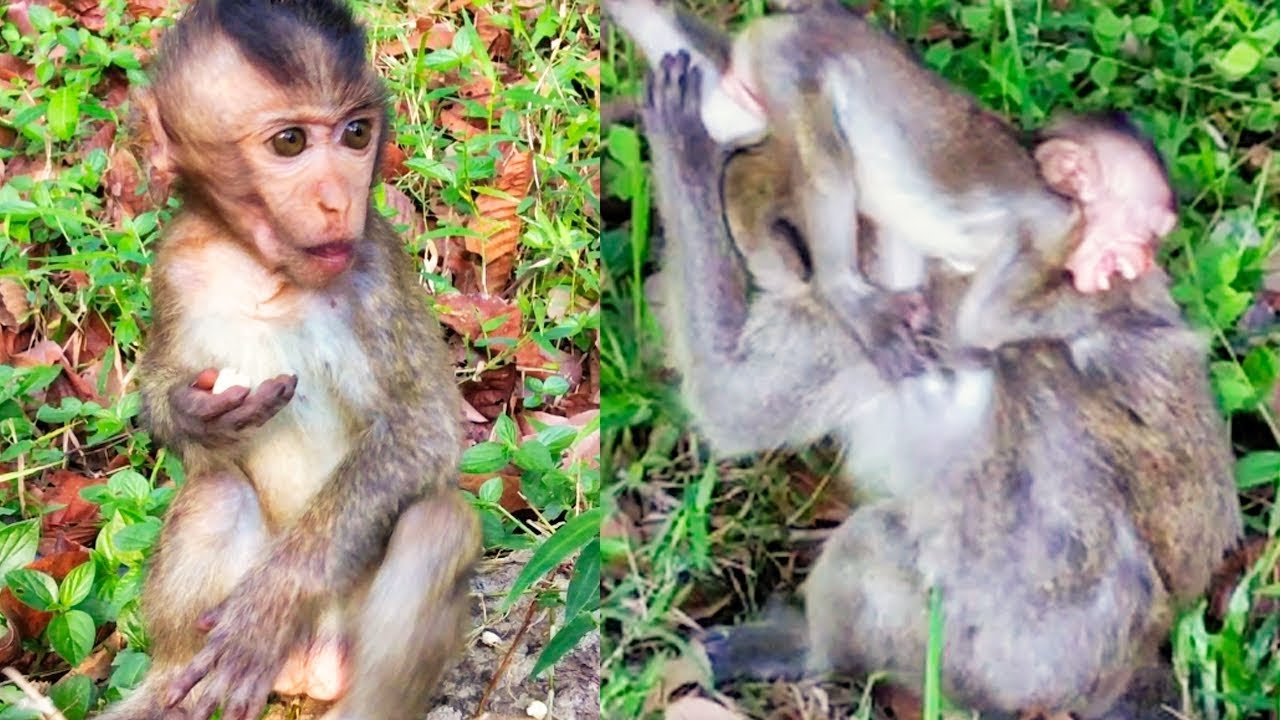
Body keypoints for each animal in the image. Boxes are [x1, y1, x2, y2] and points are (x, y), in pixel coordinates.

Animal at [94, 1, 481, 718]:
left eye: (356, 134)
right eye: (290, 143)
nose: (338, 200)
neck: (264, 272)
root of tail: (307, 663)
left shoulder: (375, 269)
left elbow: (425, 427)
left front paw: (271, 603)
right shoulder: (172, 265)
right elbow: (163, 383)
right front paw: (194, 414)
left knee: (439, 525)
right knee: (215, 492)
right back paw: (166, 691)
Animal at [635, 48, 1239, 719]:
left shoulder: (867, 323)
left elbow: (730, 405)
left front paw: (683, 149)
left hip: (956, 661)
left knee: (871, 546)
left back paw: (807, 650)